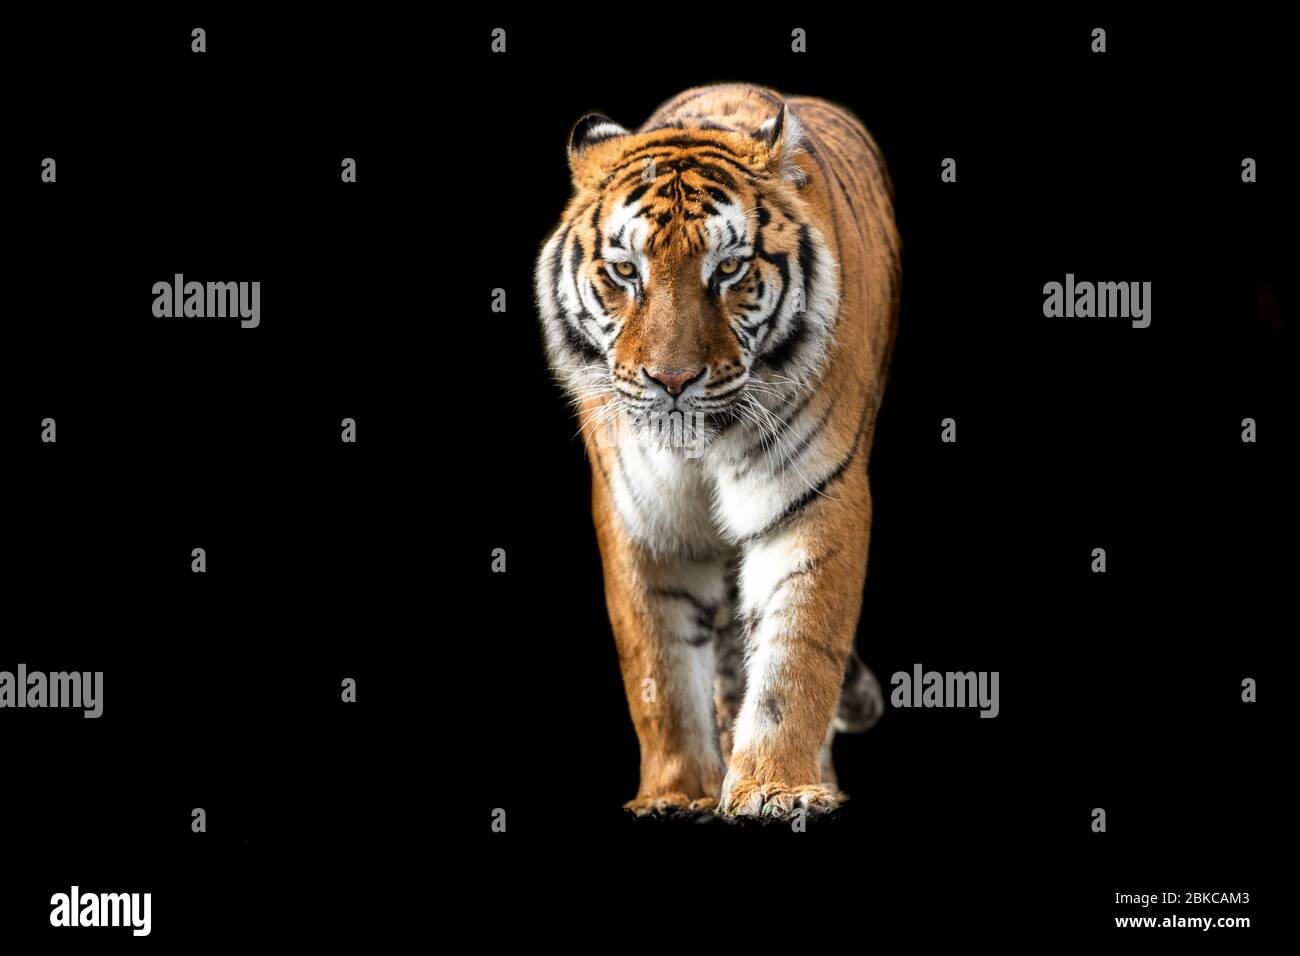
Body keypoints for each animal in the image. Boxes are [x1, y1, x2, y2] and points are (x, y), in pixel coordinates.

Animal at [534, 83, 900, 819]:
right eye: (626, 271)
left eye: (728, 268)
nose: (672, 380)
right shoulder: (641, 524)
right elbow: (659, 669)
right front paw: (676, 792)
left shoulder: (815, 500)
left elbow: (796, 657)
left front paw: (777, 786)